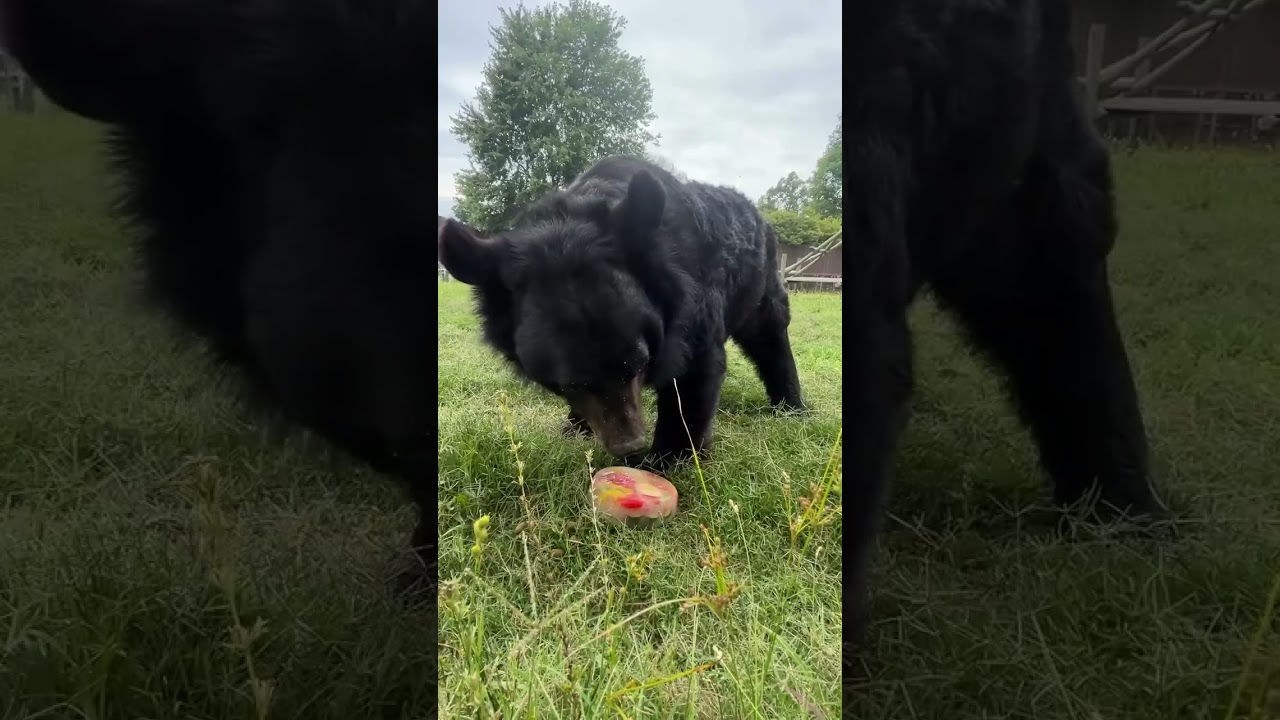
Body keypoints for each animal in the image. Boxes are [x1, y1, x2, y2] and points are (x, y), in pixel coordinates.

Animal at [438, 155, 807, 468]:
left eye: (639, 364)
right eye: (568, 383)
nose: (628, 447)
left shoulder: (693, 306)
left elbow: (695, 374)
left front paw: (667, 461)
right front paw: (575, 426)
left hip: (761, 285)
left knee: (771, 335)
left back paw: (792, 407)